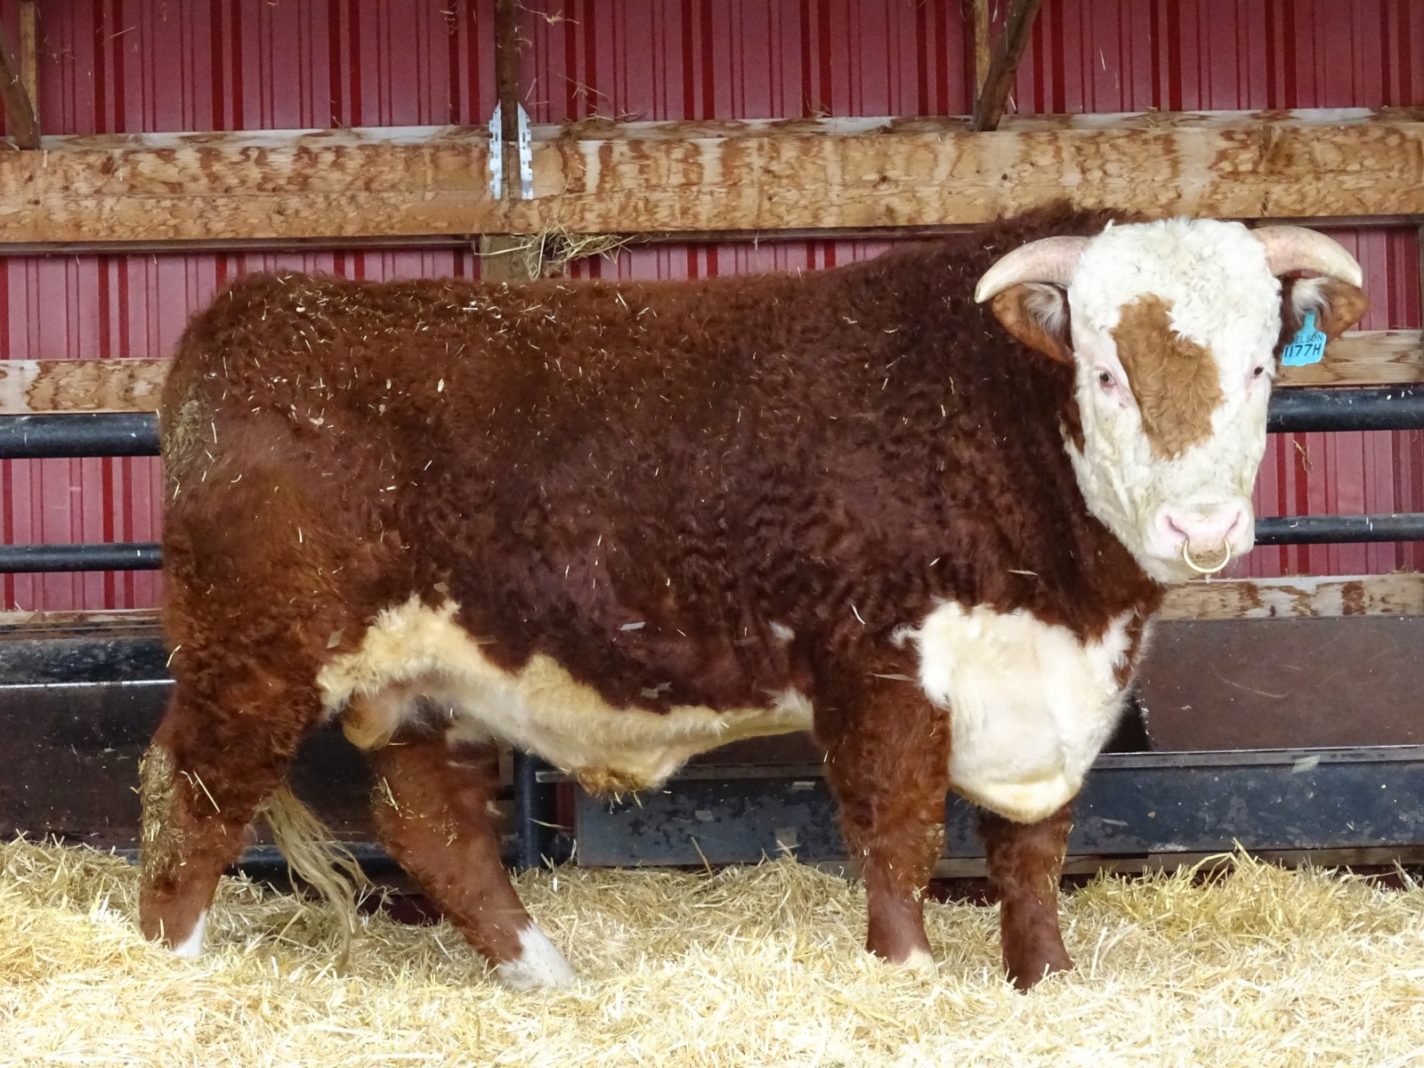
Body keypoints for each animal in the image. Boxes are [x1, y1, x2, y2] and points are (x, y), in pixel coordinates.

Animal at [137, 207, 1367, 991]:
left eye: (1262, 365)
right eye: (1107, 373)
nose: (1200, 529)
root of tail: (255, 312)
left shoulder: (1046, 697)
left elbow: (1031, 850)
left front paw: (1047, 981)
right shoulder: (876, 659)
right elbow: (898, 830)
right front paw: (908, 976)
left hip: (422, 680)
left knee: (433, 828)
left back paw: (552, 980)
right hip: (252, 654)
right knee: (191, 790)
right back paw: (171, 967)